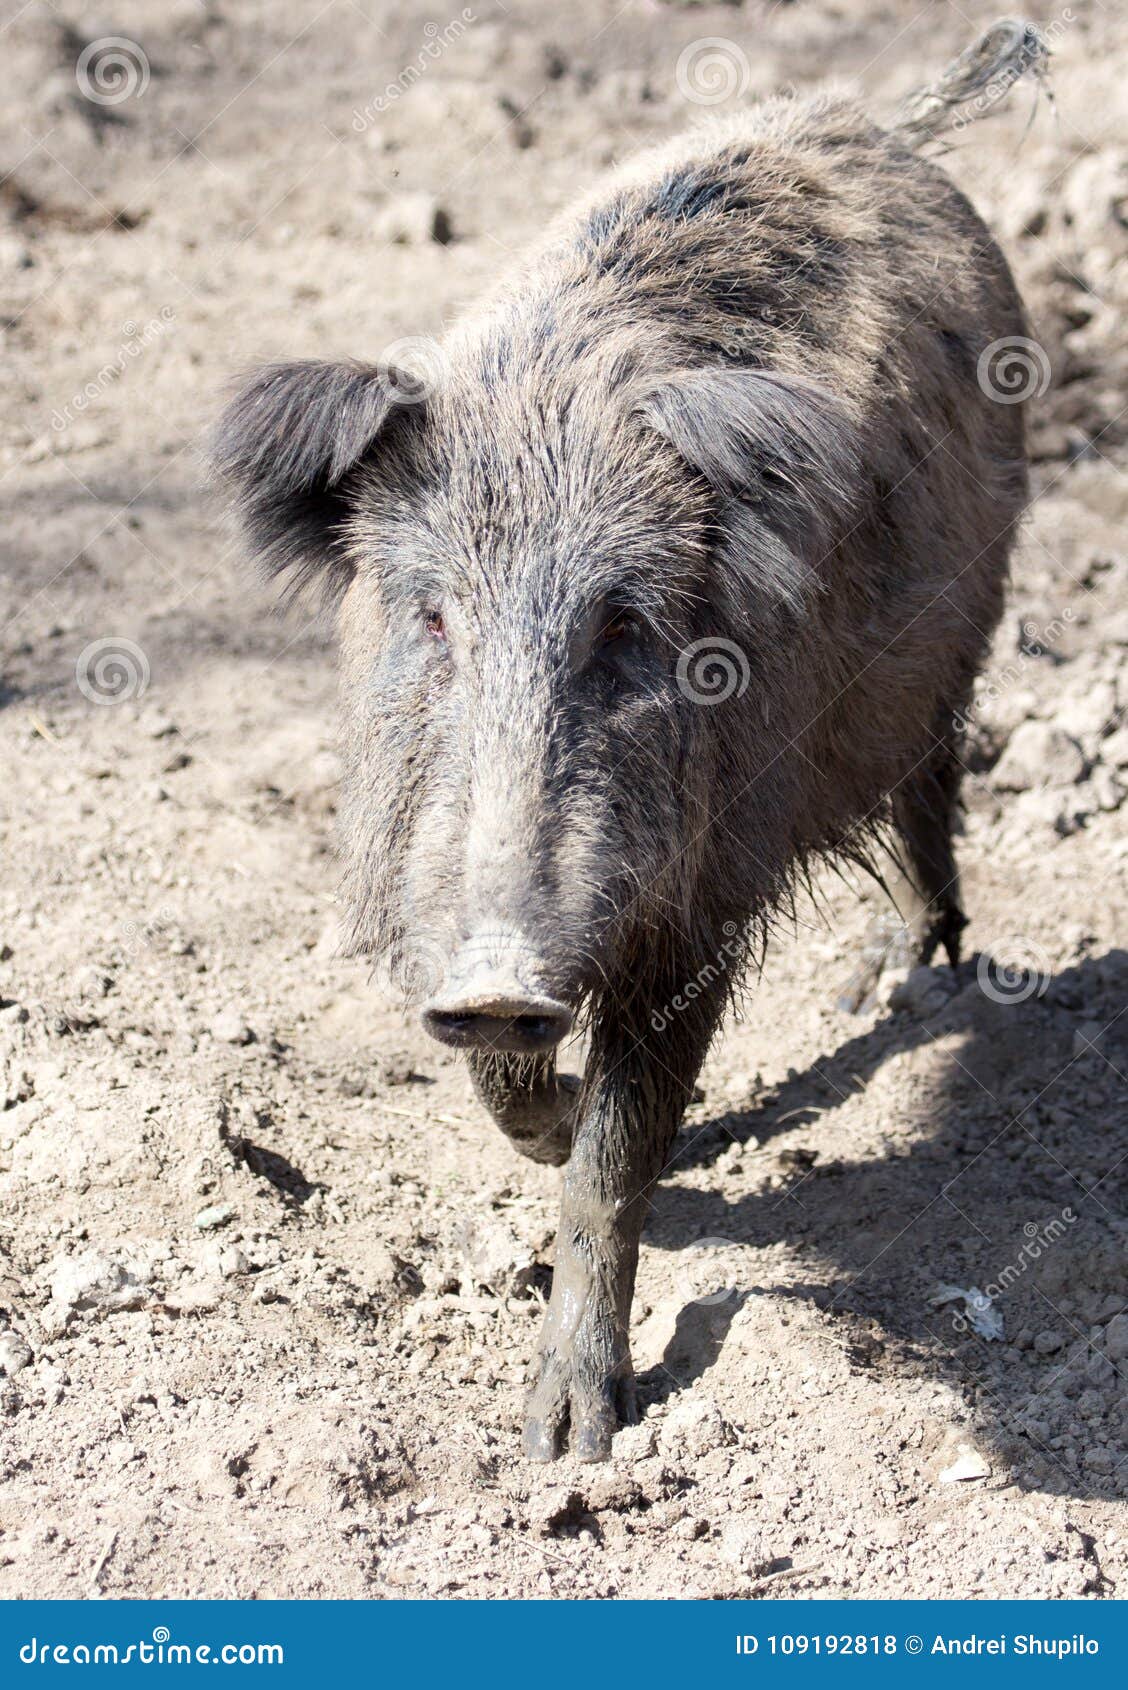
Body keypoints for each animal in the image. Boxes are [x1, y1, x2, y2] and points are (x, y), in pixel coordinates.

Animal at [214, 21, 1047, 1461]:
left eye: (624, 624)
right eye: (431, 615)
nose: (502, 967)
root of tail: (876, 126)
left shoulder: (700, 901)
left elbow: (618, 1157)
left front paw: (567, 1442)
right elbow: (512, 1091)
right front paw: (545, 1131)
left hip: (964, 619)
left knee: (931, 781)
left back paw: (900, 979)